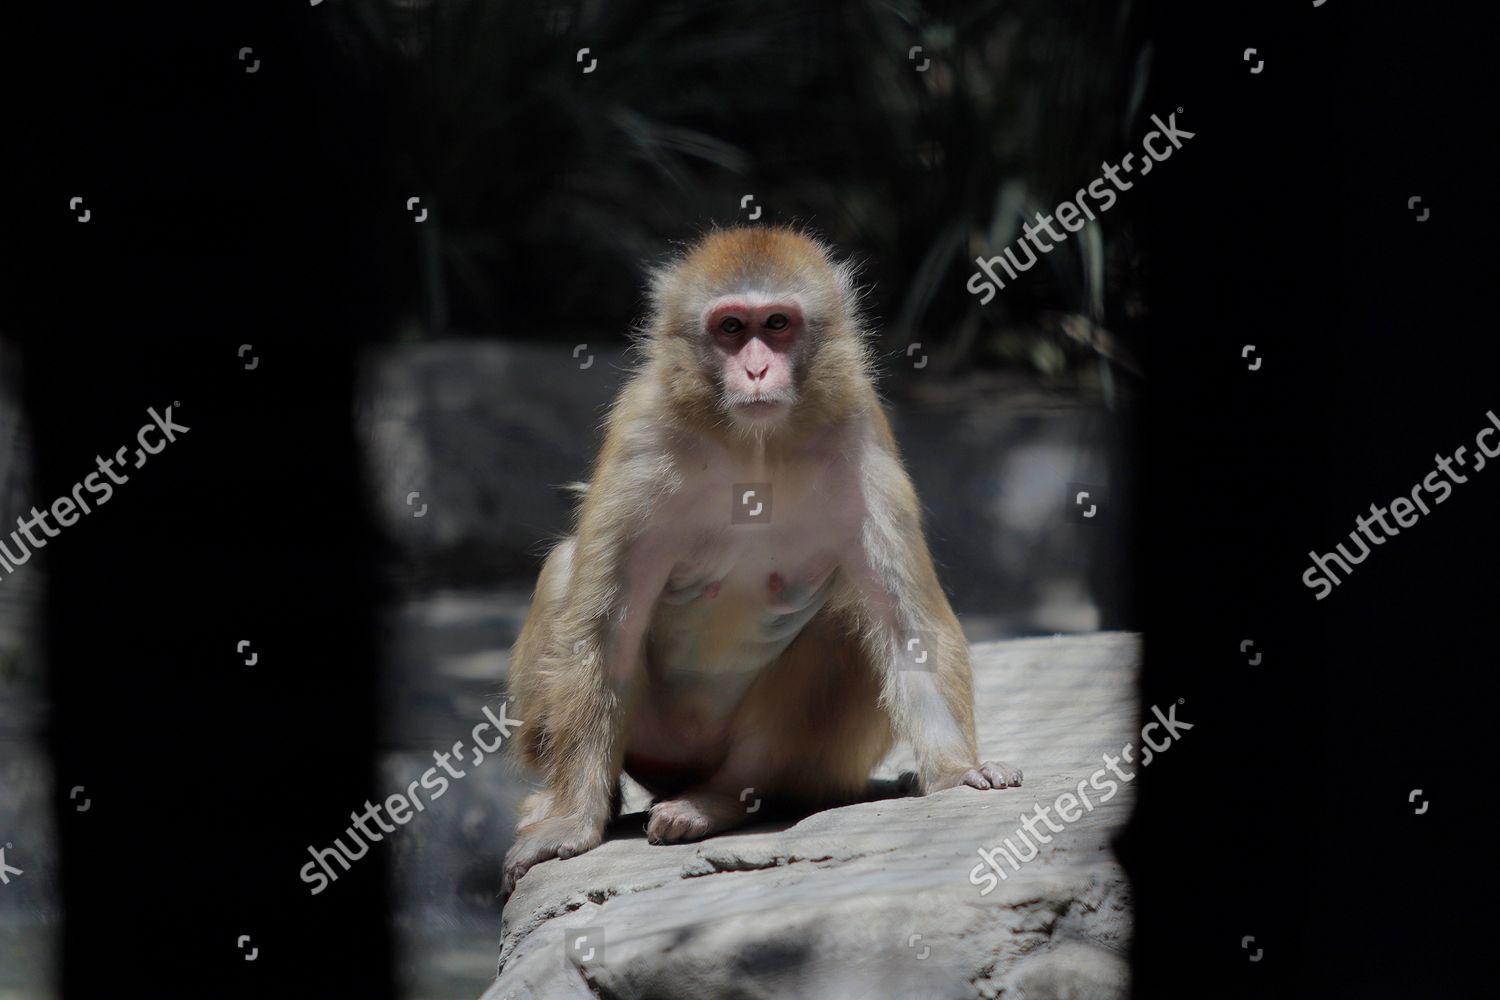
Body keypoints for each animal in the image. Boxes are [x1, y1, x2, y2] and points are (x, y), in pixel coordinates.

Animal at [502, 226, 1021, 896]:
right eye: (730, 328)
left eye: (776, 324)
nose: (754, 369)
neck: (754, 446)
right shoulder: (642, 433)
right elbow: (603, 630)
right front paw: (573, 819)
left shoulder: (860, 438)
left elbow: (909, 628)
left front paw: (958, 770)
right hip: (651, 743)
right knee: (565, 569)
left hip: (815, 767)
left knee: (842, 626)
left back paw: (717, 801)